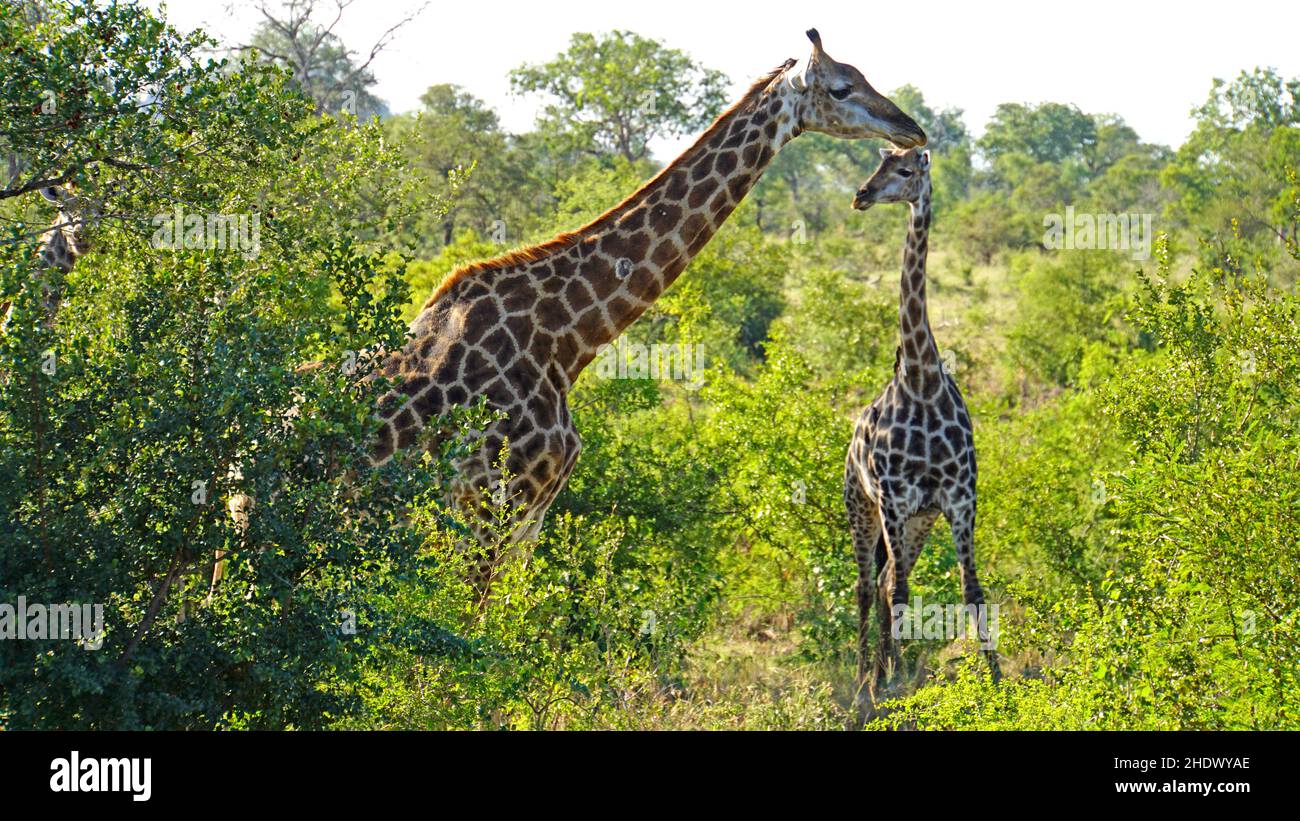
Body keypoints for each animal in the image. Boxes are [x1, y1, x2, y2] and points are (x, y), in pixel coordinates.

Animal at [843, 148, 1000, 717]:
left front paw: (999, 684)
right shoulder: (893, 497)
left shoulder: (958, 499)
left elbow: (973, 591)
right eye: (880, 163)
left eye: (907, 171)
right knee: (869, 585)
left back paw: (882, 667)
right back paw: (865, 677)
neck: (923, 381)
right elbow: (899, 595)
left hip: (917, 523)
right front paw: (892, 688)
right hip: (862, 507)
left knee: (888, 577)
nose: (861, 195)